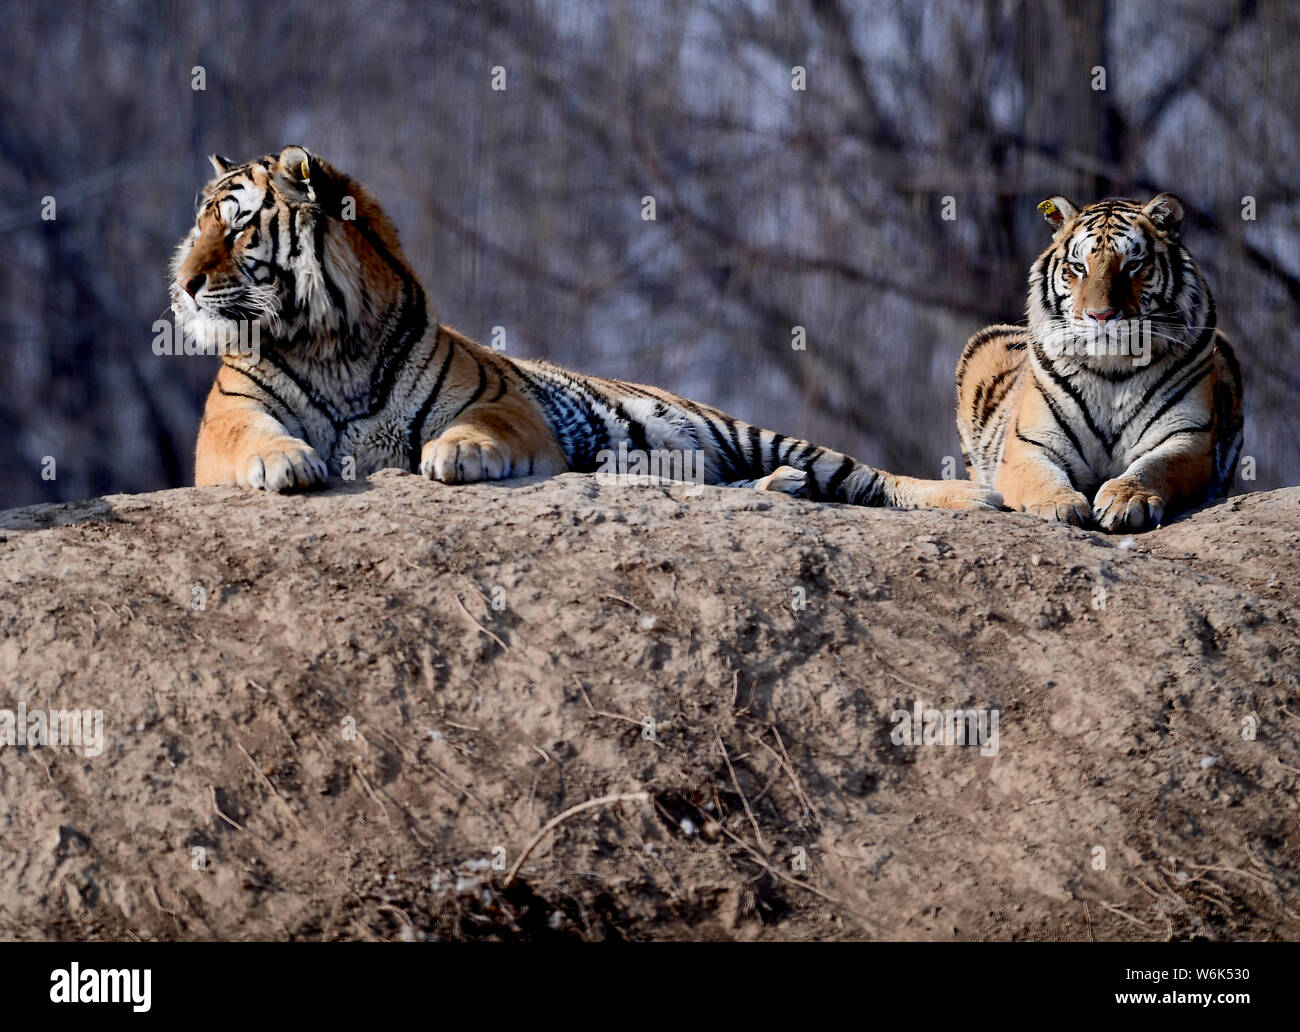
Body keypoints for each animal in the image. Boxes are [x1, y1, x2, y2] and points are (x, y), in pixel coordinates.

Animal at [172, 145, 1002, 514]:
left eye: (237, 225)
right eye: (198, 222)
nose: (181, 285)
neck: (332, 344)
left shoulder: (503, 402)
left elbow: (477, 427)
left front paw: (455, 455)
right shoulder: (227, 423)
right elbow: (257, 439)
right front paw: (286, 464)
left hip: (744, 430)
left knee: (870, 477)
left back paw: (971, 498)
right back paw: (777, 487)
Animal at [956, 193, 1243, 532]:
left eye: (1133, 265)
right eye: (1079, 267)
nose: (1101, 315)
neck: (1112, 366)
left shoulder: (1186, 436)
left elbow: (1155, 466)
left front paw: (1128, 498)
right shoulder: (1030, 443)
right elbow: (1040, 476)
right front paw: (1057, 503)